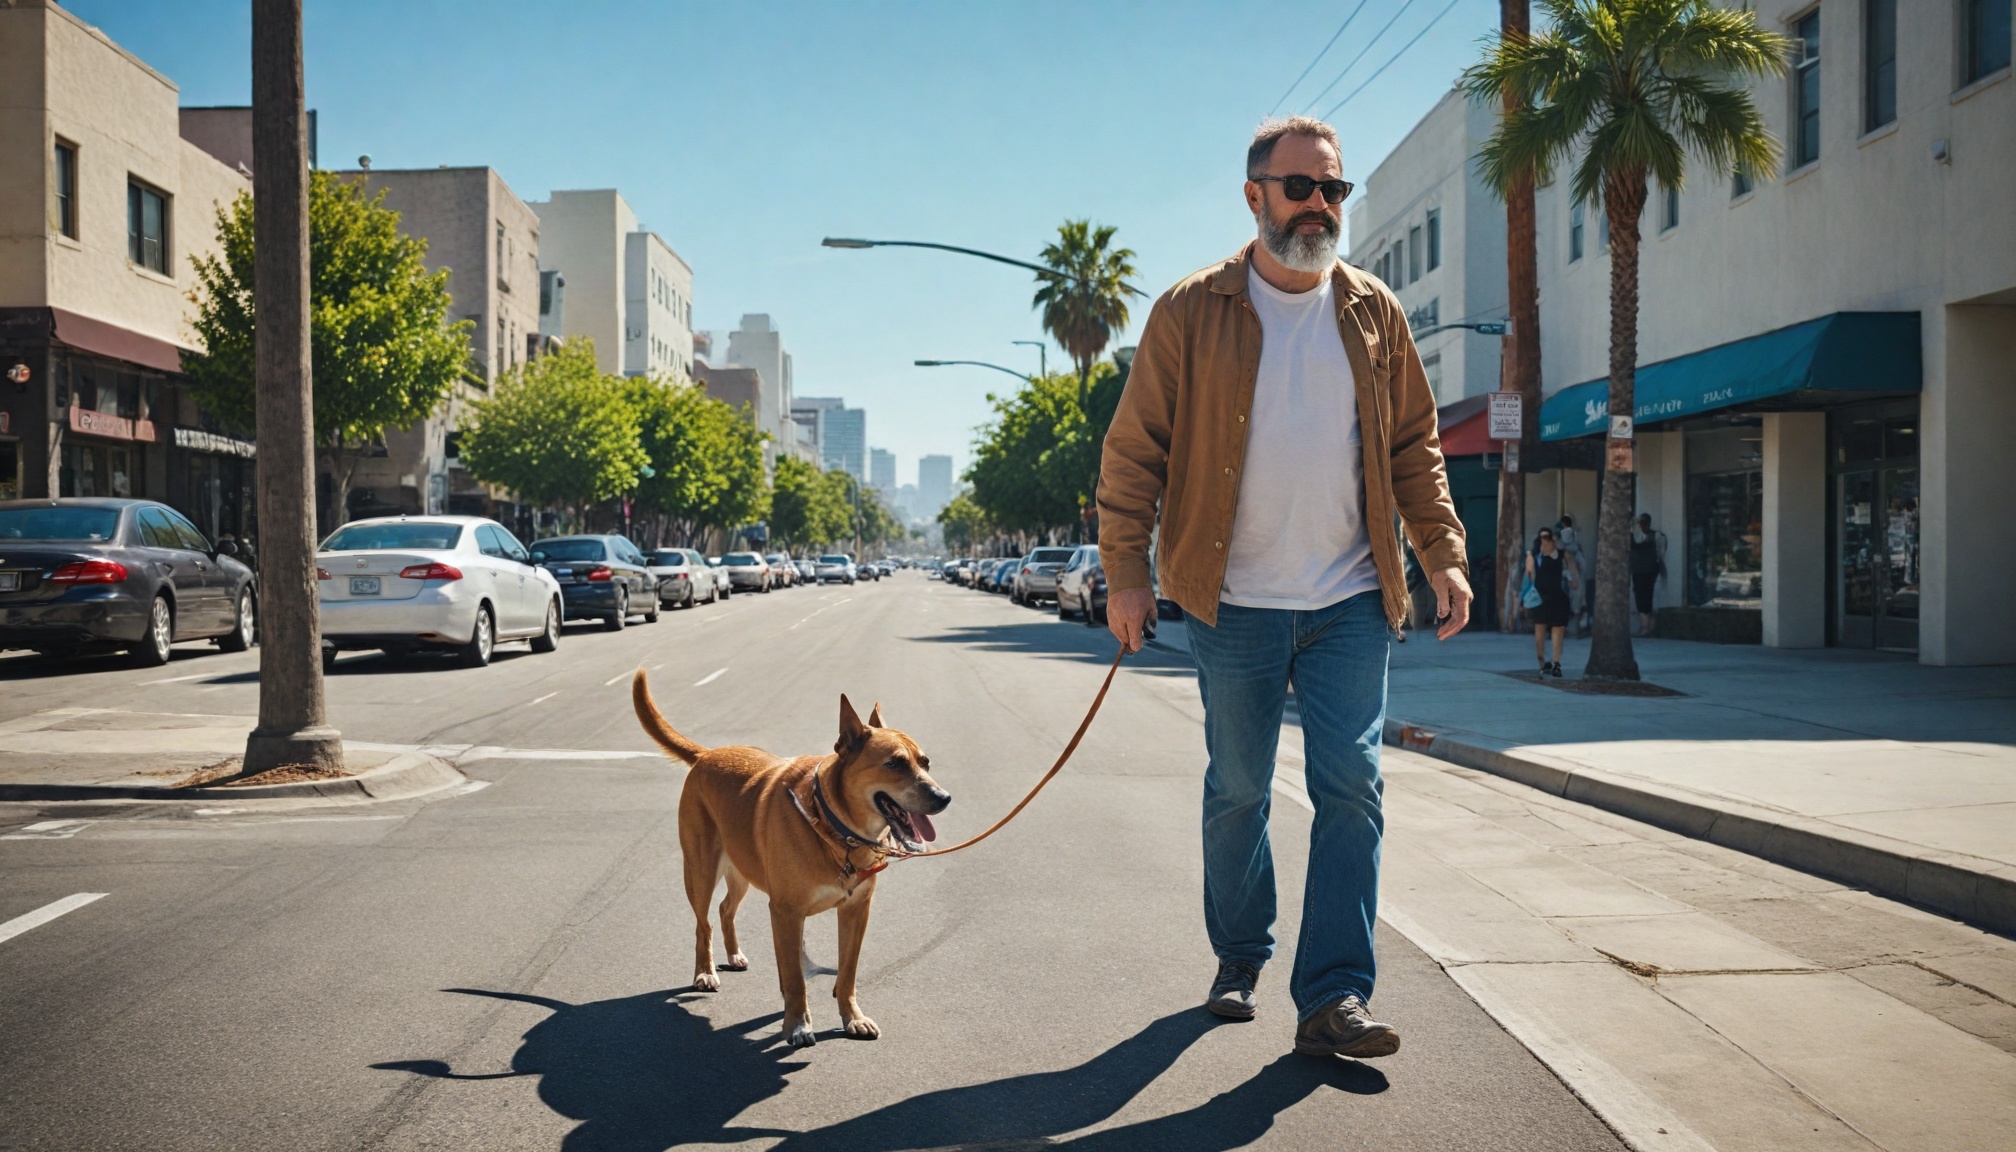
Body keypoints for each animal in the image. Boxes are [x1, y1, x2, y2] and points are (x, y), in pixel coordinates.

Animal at [633, 669, 947, 1049]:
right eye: (895, 764)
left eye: (925, 763)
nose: (943, 797)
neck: (835, 827)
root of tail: (708, 754)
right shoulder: (785, 911)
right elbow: (796, 978)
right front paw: (797, 1024)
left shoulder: (855, 910)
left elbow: (846, 972)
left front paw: (851, 1017)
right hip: (700, 871)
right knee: (703, 923)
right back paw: (705, 972)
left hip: (741, 871)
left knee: (725, 909)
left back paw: (733, 955)